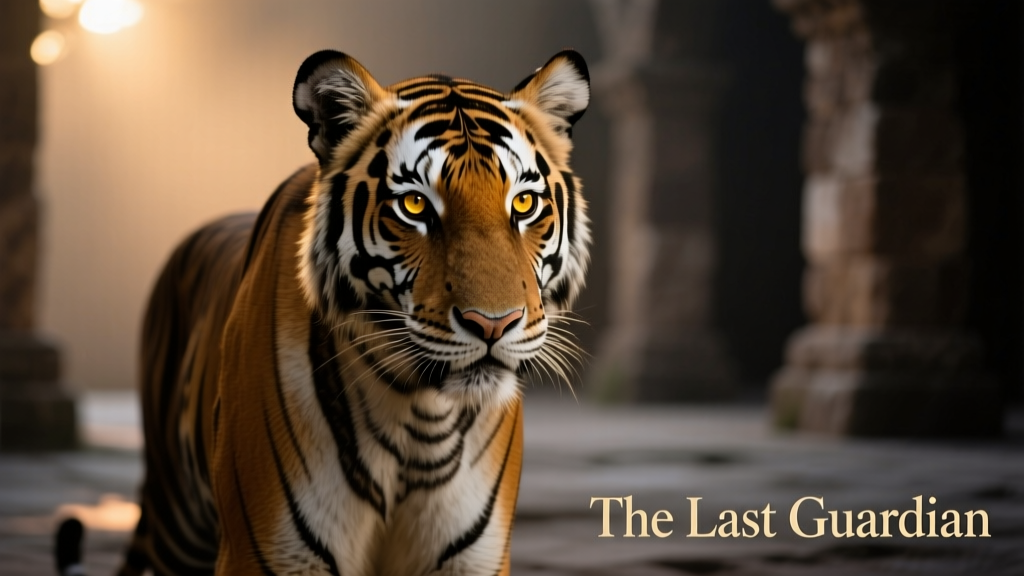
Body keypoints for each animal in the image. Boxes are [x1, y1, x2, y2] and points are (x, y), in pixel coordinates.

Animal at [56, 49, 591, 576]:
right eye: (416, 206)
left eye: (524, 203)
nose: (494, 324)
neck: (419, 420)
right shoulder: (266, 554)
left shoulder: (471, 559)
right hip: (177, 521)